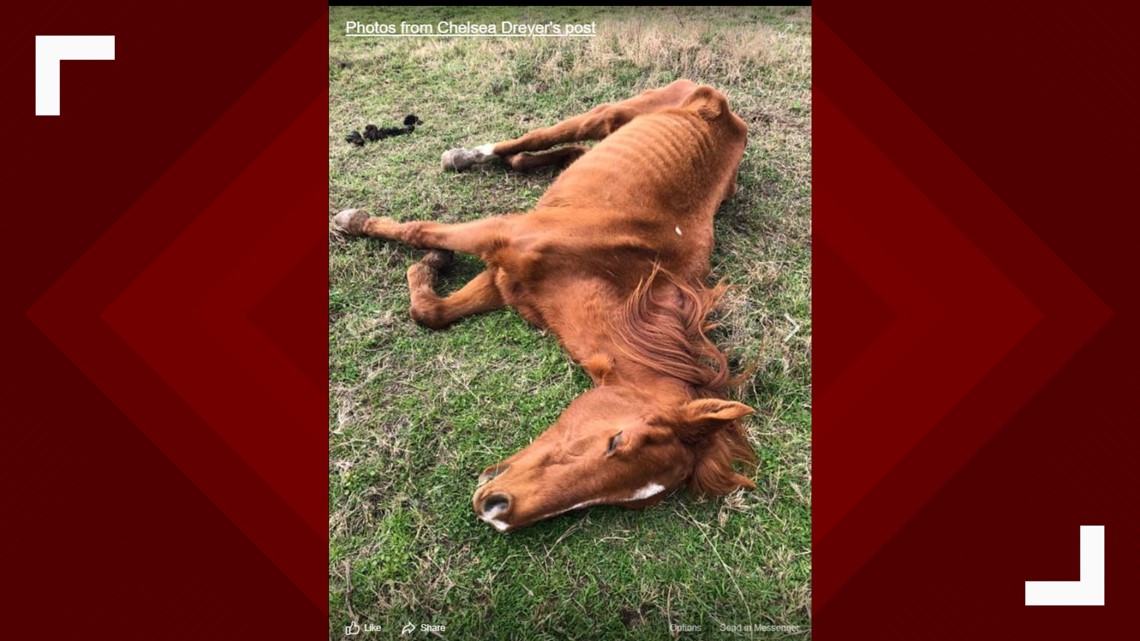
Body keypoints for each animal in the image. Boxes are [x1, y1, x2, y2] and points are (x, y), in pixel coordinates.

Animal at [334, 79, 756, 532]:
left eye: (626, 502)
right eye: (617, 440)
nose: (498, 512)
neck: (603, 266)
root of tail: (725, 109)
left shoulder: (504, 283)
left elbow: (430, 311)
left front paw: (433, 263)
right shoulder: (499, 236)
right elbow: (419, 231)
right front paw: (355, 222)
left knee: (551, 155)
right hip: (609, 114)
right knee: (537, 137)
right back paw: (463, 157)